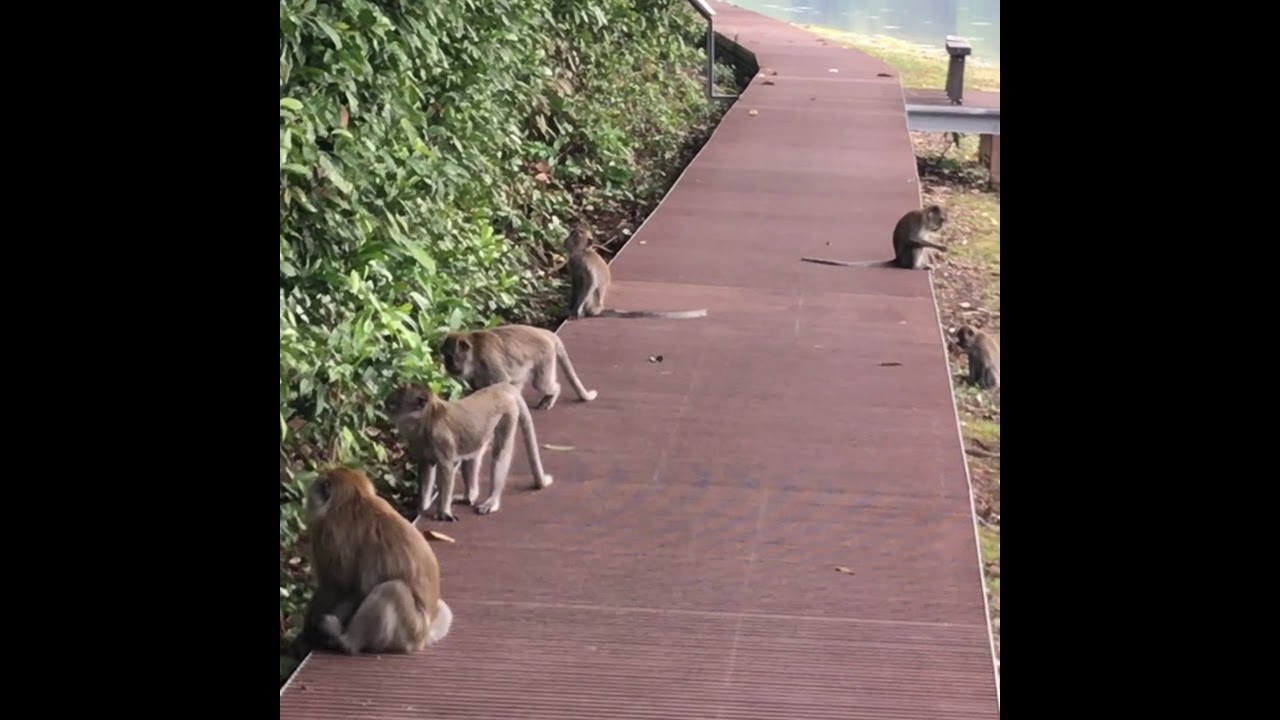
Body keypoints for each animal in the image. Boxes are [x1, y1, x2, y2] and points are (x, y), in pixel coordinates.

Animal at [301, 467, 453, 656]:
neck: (353, 499)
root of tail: (423, 638)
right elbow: (355, 591)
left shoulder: (329, 533)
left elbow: (339, 587)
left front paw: (306, 633)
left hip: (408, 632)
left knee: (393, 589)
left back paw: (345, 641)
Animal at [386, 381, 554, 522]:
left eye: (400, 393)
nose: (389, 399)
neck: (427, 418)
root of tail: (500, 387)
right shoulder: (420, 441)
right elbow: (426, 465)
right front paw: (422, 507)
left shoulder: (439, 438)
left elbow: (446, 469)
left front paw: (443, 512)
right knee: (471, 457)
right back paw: (469, 497)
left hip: (508, 414)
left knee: (500, 454)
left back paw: (491, 501)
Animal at [442, 324, 597, 411]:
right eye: (445, 357)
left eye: (450, 358)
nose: (447, 366)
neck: (474, 353)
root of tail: (546, 333)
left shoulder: (488, 358)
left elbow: (501, 381)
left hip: (545, 355)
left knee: (541, 383)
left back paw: (552, 393)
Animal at [565, 224, 708, 320]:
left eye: (575, 235)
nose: (565, 240)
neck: (582, 252)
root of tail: (599, 309)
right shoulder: (574, 262)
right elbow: (575, 282)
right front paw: (570, 307)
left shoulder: (585, 263)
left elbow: (591, 283)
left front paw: (576, 310)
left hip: (592, 304)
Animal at [799, 204, 950, 270]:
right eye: (941, 220)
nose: (941, 227)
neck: (925, 218)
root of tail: (897, 260)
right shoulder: (918, 222)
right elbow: (912, 240)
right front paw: (939, 247)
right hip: (905, 259)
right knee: (915, 247)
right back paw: (915, 267)